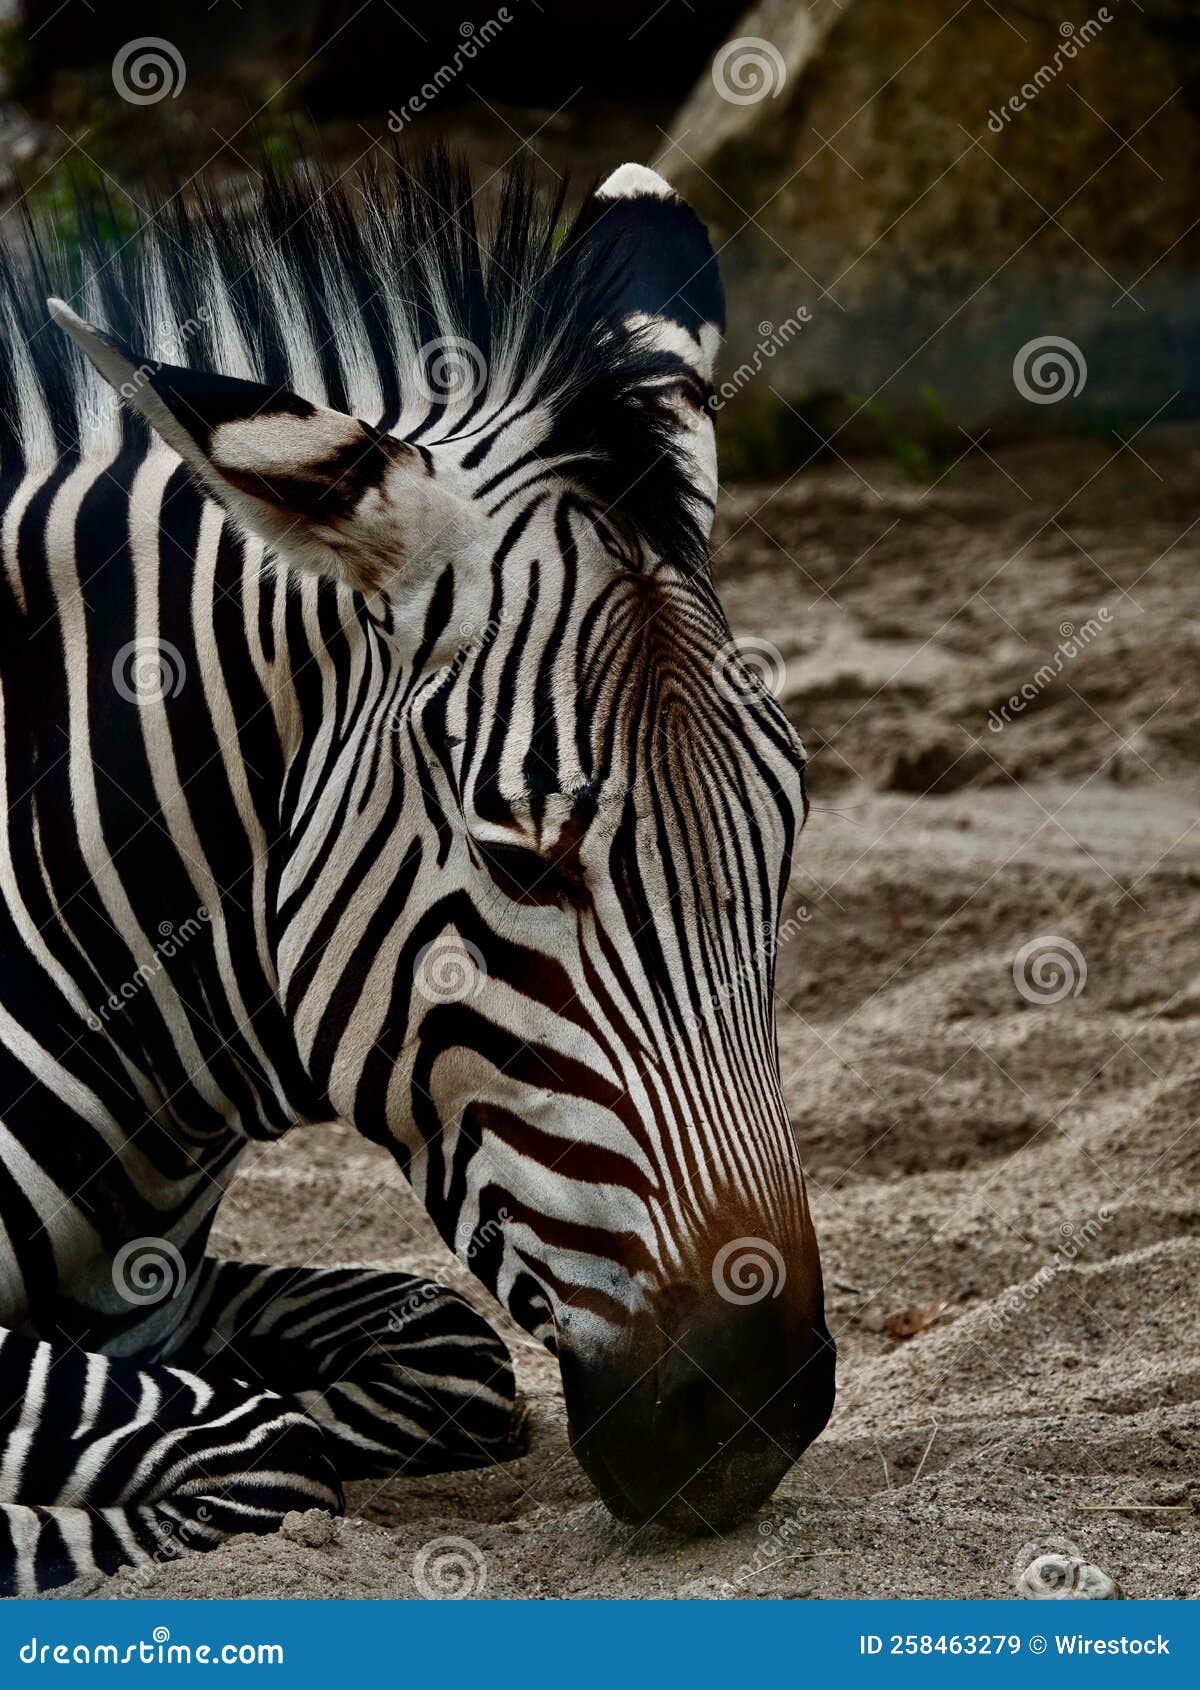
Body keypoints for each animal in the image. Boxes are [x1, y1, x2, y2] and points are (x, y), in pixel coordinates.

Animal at [0, 150, 834, 1594]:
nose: (759, 1410)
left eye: (783, 839)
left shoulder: (150, 1290)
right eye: (522, 860)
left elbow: (442, 1349)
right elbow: (257, 1444)